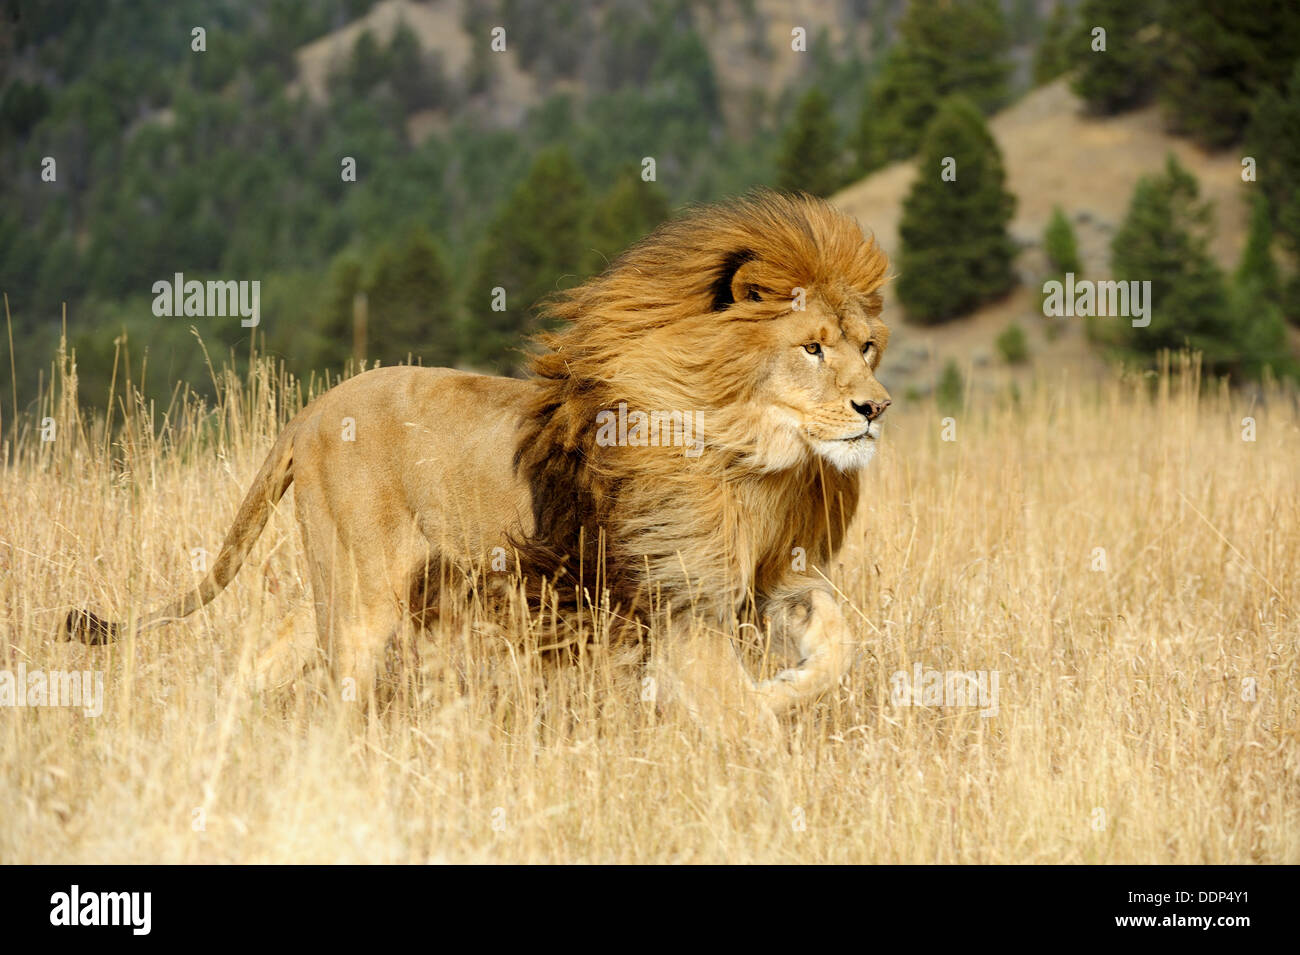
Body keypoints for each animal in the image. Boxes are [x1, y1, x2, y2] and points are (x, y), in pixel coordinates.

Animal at [66, 190, 892, 728]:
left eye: (866, 346)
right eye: (811, 347)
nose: (875, 408)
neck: (758, 460)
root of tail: (308, 413)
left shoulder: (772, 574)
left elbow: (841, 641)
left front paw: (785, 687)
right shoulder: (680, 596)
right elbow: (737, 711)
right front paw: (759, 730)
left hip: (349, 581)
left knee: (270, 655)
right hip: (364, 592)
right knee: (337, 689)